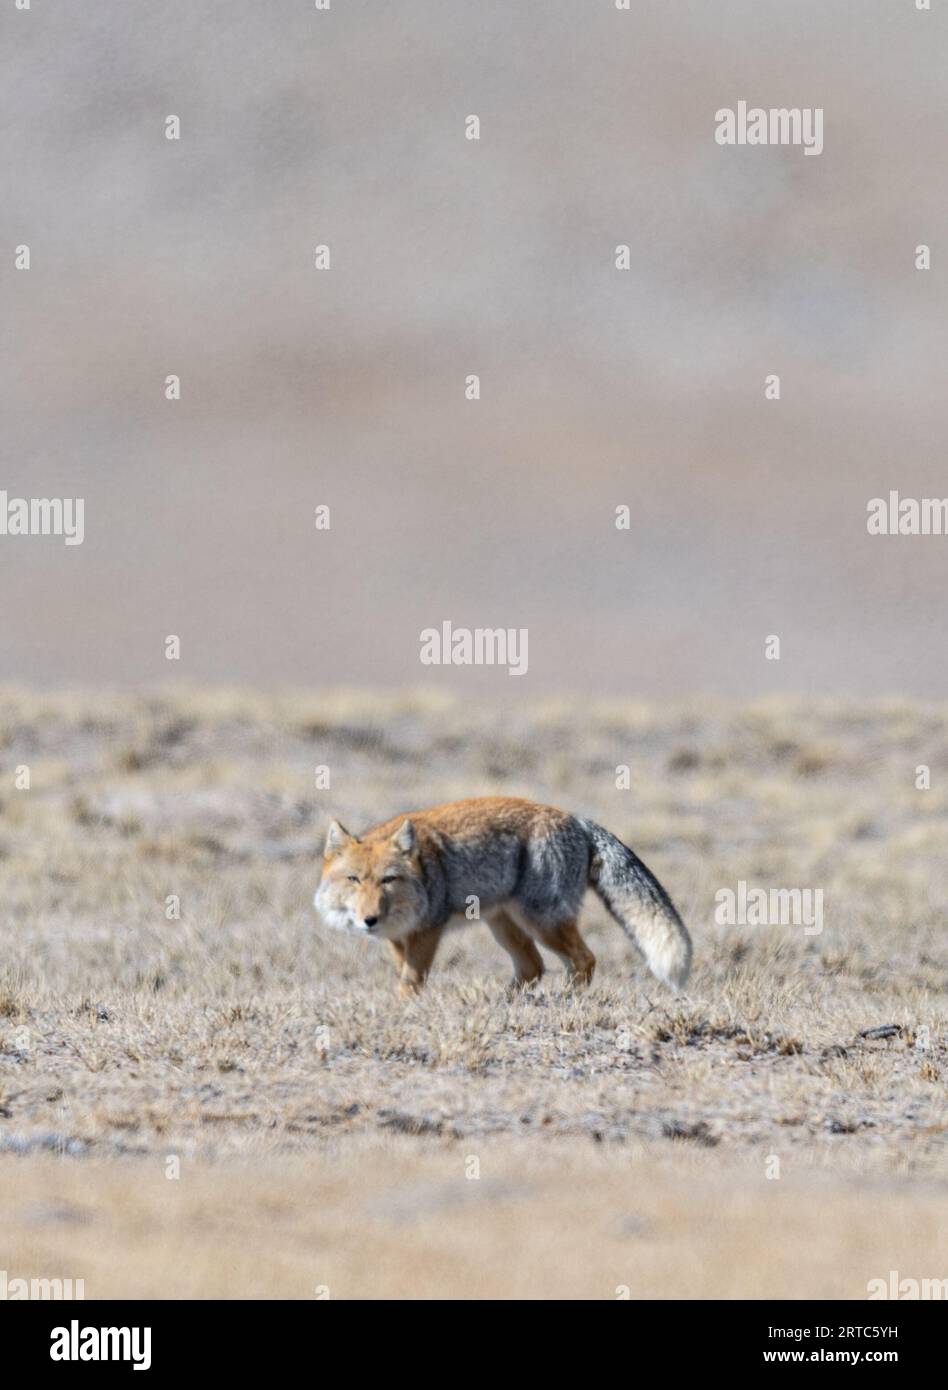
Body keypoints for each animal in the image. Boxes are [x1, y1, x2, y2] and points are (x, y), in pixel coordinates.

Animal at [314, 796, 691, 998]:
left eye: (388, 879)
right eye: (354, 880)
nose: (369, 920)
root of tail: (578, 819)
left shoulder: (428, 931)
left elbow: (411, 980)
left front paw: (405, 1009)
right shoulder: (399, 938)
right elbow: (403, 974)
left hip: (542, 921)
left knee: (584, 959)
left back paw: (565, 1000)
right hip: (505, 925)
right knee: (534, 967)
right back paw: (503, 1001)